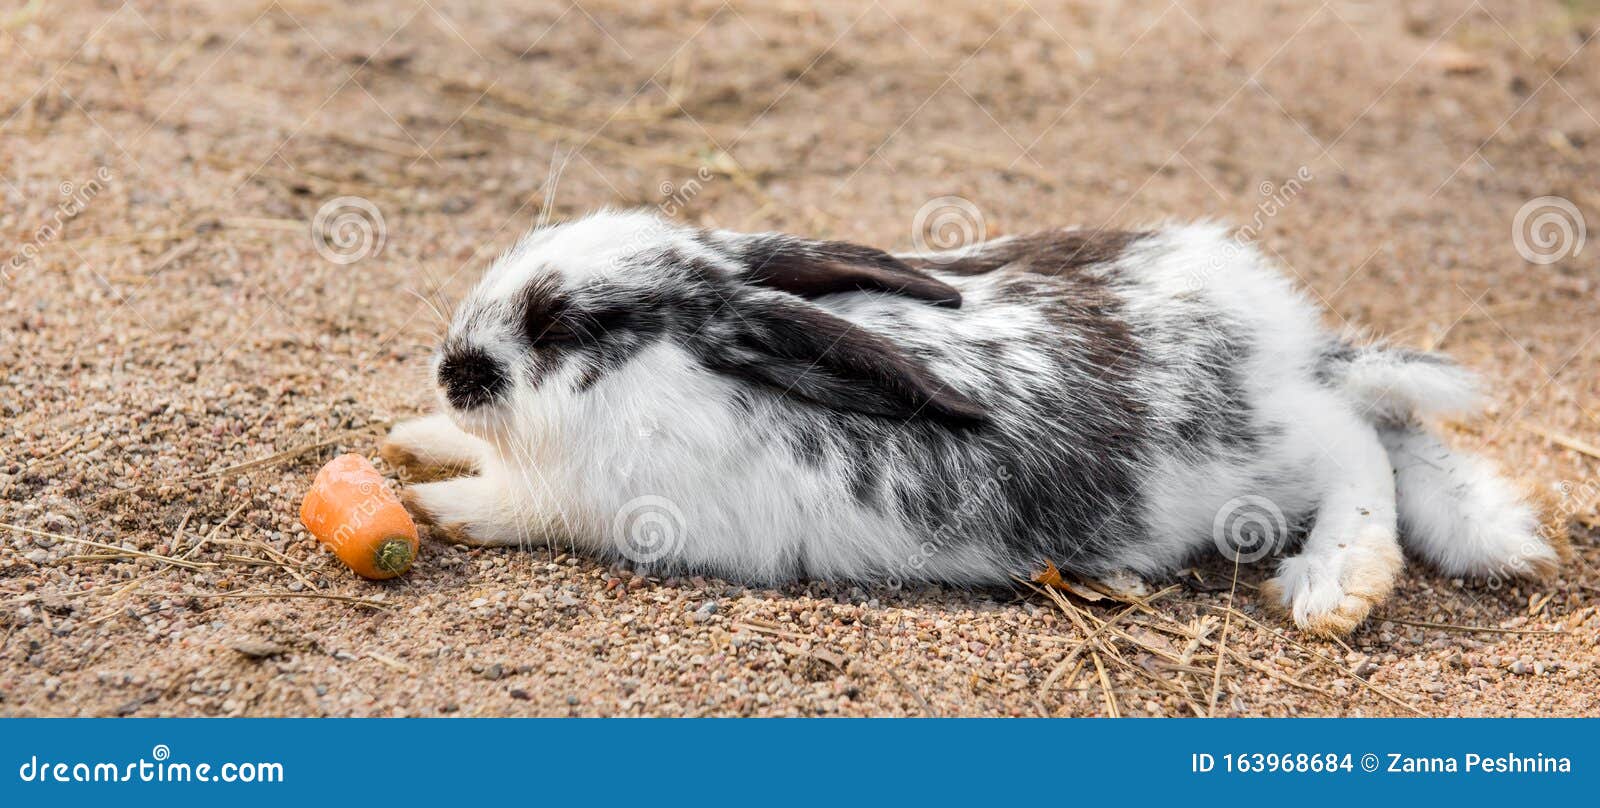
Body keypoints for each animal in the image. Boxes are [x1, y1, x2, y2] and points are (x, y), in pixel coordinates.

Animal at [383, 209, 1565, 636]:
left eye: (563, 324)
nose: (453, 370)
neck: (666, 373)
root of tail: (1291, 349)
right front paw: (412, 440)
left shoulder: (586, 505)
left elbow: (501, 505)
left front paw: (428, 504)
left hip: (1273, 455)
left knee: (1364, 450)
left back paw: (1333, 587)